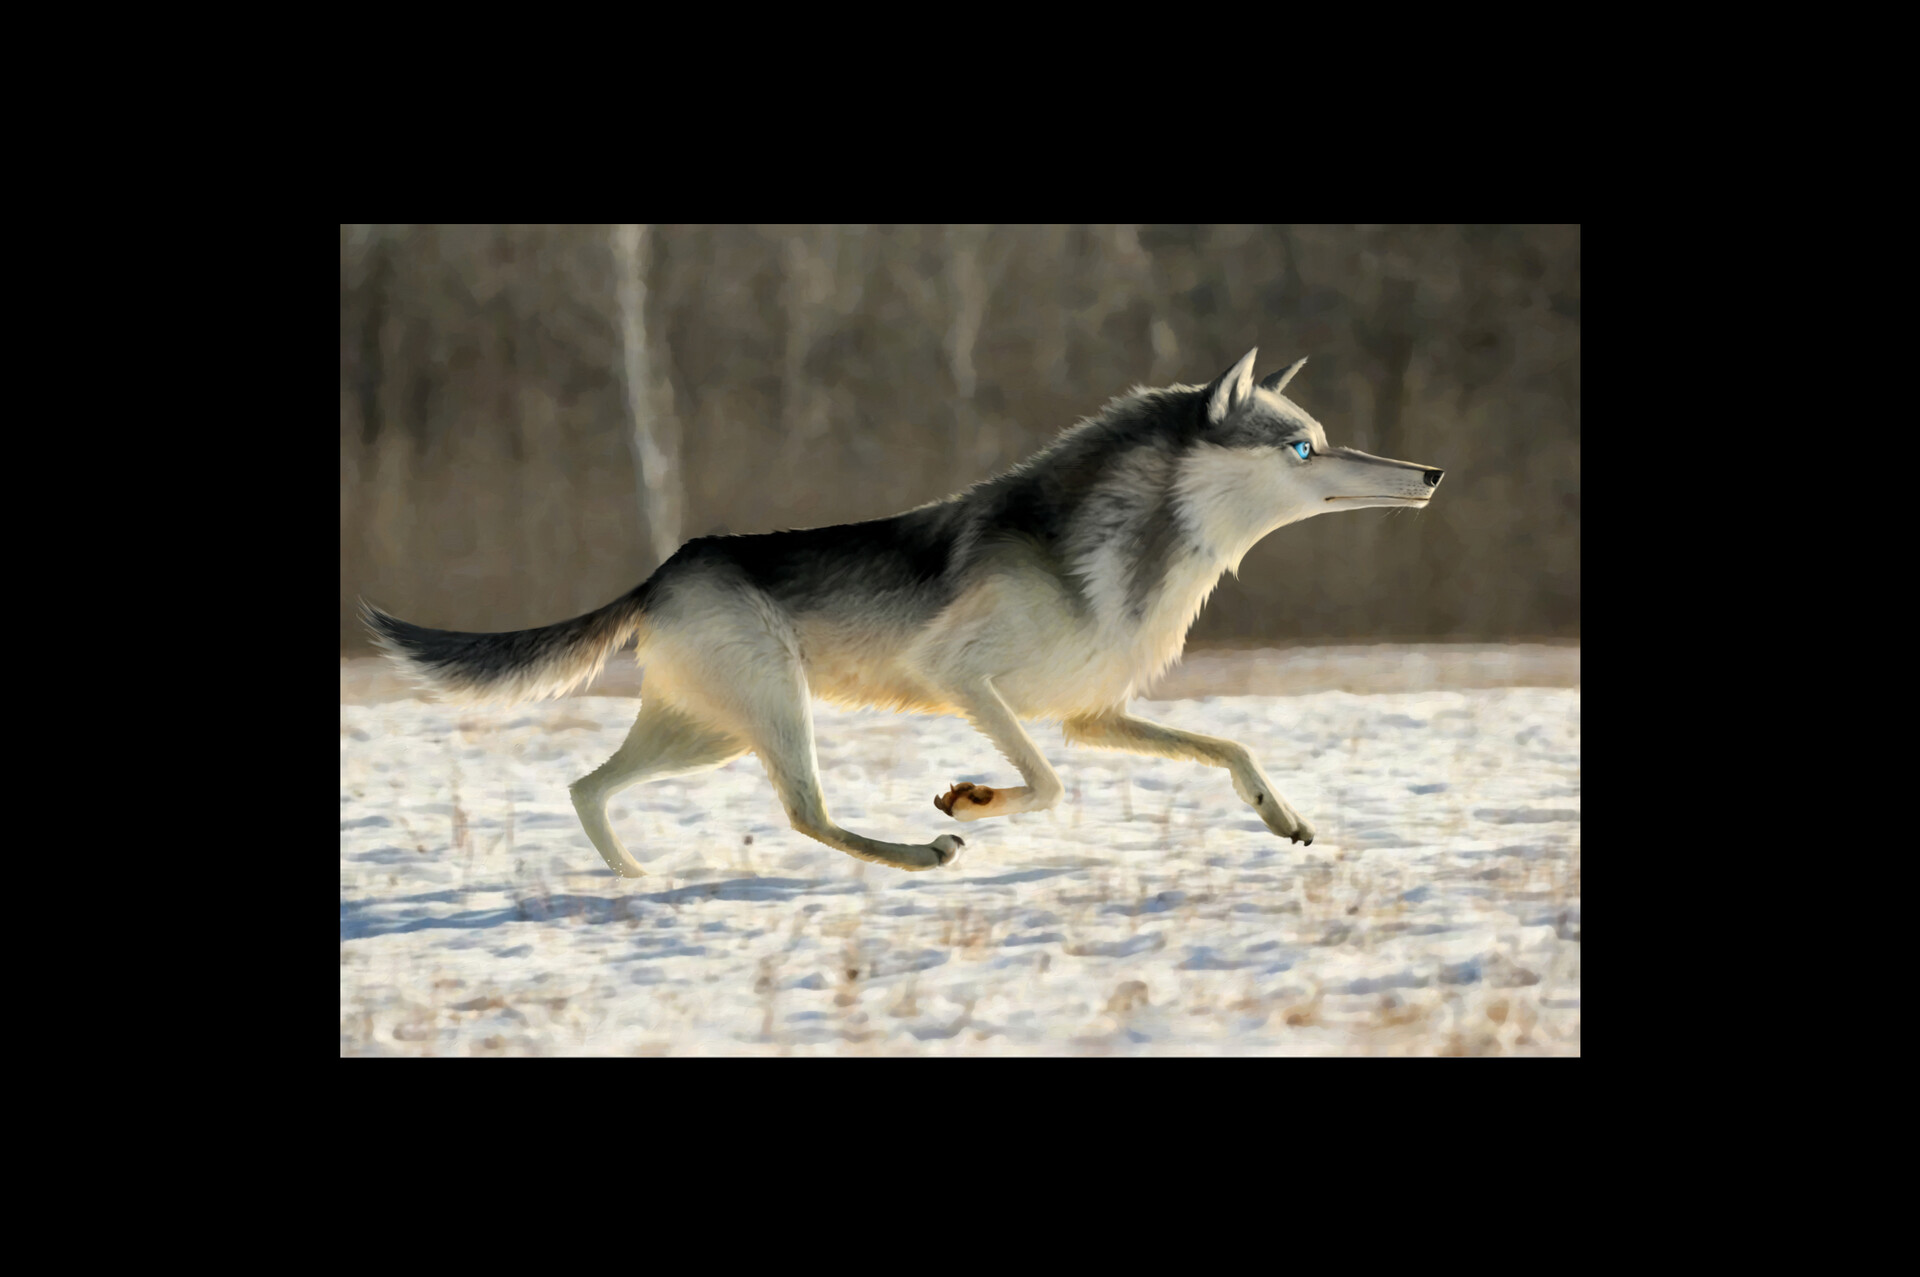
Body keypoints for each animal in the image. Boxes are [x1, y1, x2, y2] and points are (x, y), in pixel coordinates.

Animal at [363, 349, 1443, 877]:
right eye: (1303, 449)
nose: (1429, 472)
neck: (1139, 554)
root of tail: (664, 568)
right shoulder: (959, 676)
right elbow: (1046, 782)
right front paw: (970, 801)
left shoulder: (1093, 712)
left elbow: (1230, 748)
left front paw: (1284, 818)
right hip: (773, 708)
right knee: (804, 812)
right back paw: (921, 852)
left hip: (711, 730)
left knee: (588, 785)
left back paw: (631, 876)